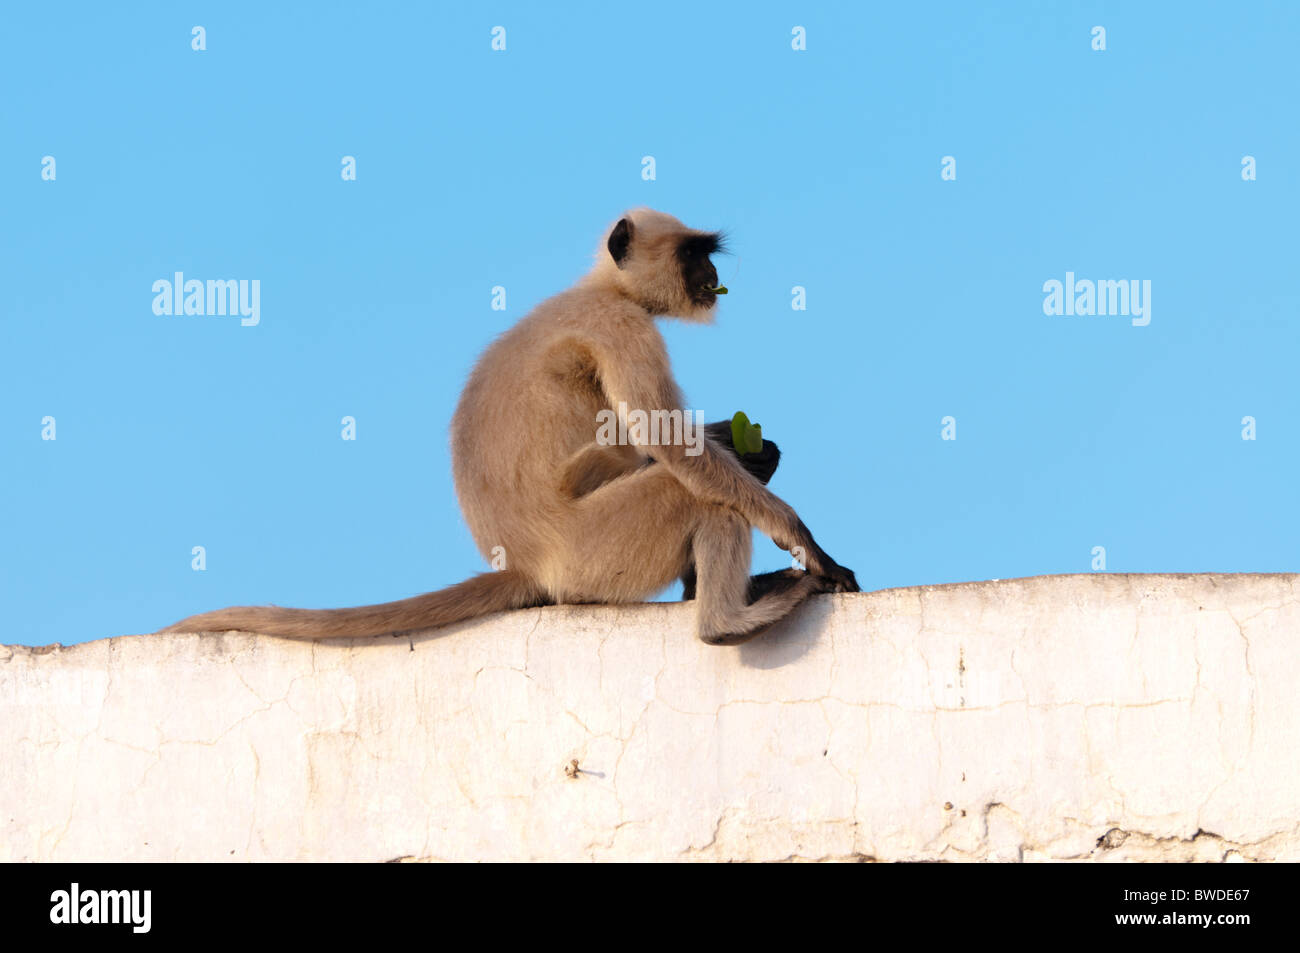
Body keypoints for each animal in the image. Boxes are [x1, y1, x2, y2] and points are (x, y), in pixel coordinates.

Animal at [165, 208, 858, 645]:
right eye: (693, 255)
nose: (712, 280)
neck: (604, 289)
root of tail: (528, 562)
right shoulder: (621, 326)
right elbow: (668, 445)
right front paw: (805, 540)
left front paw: (756, 447)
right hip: (595, 552)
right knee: (686, 491)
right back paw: (722, 624)